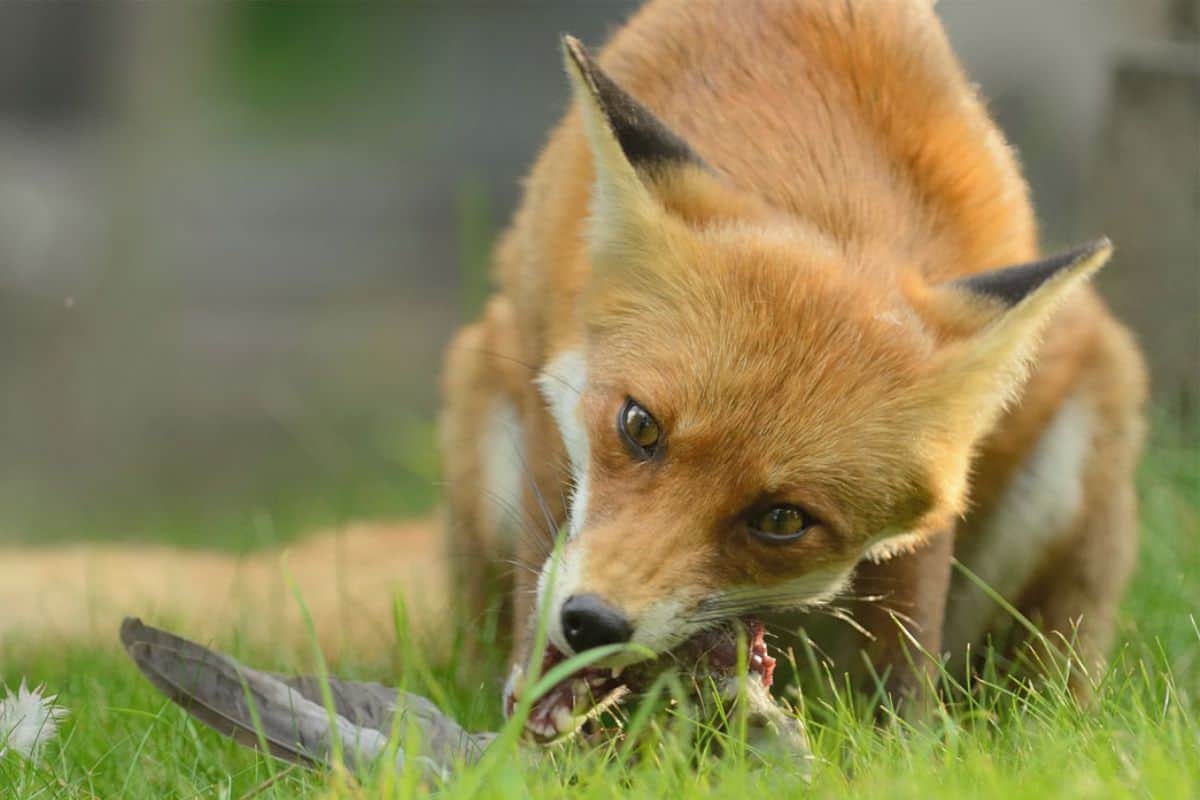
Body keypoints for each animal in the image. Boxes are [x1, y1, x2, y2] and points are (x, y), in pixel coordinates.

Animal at [440, 0, 1146, 741]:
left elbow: (906, 651)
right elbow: (539, 572)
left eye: (783, 520)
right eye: (640, 426)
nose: (593, 623)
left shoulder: (940, 492)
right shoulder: (549, 386)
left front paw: (905, 750)